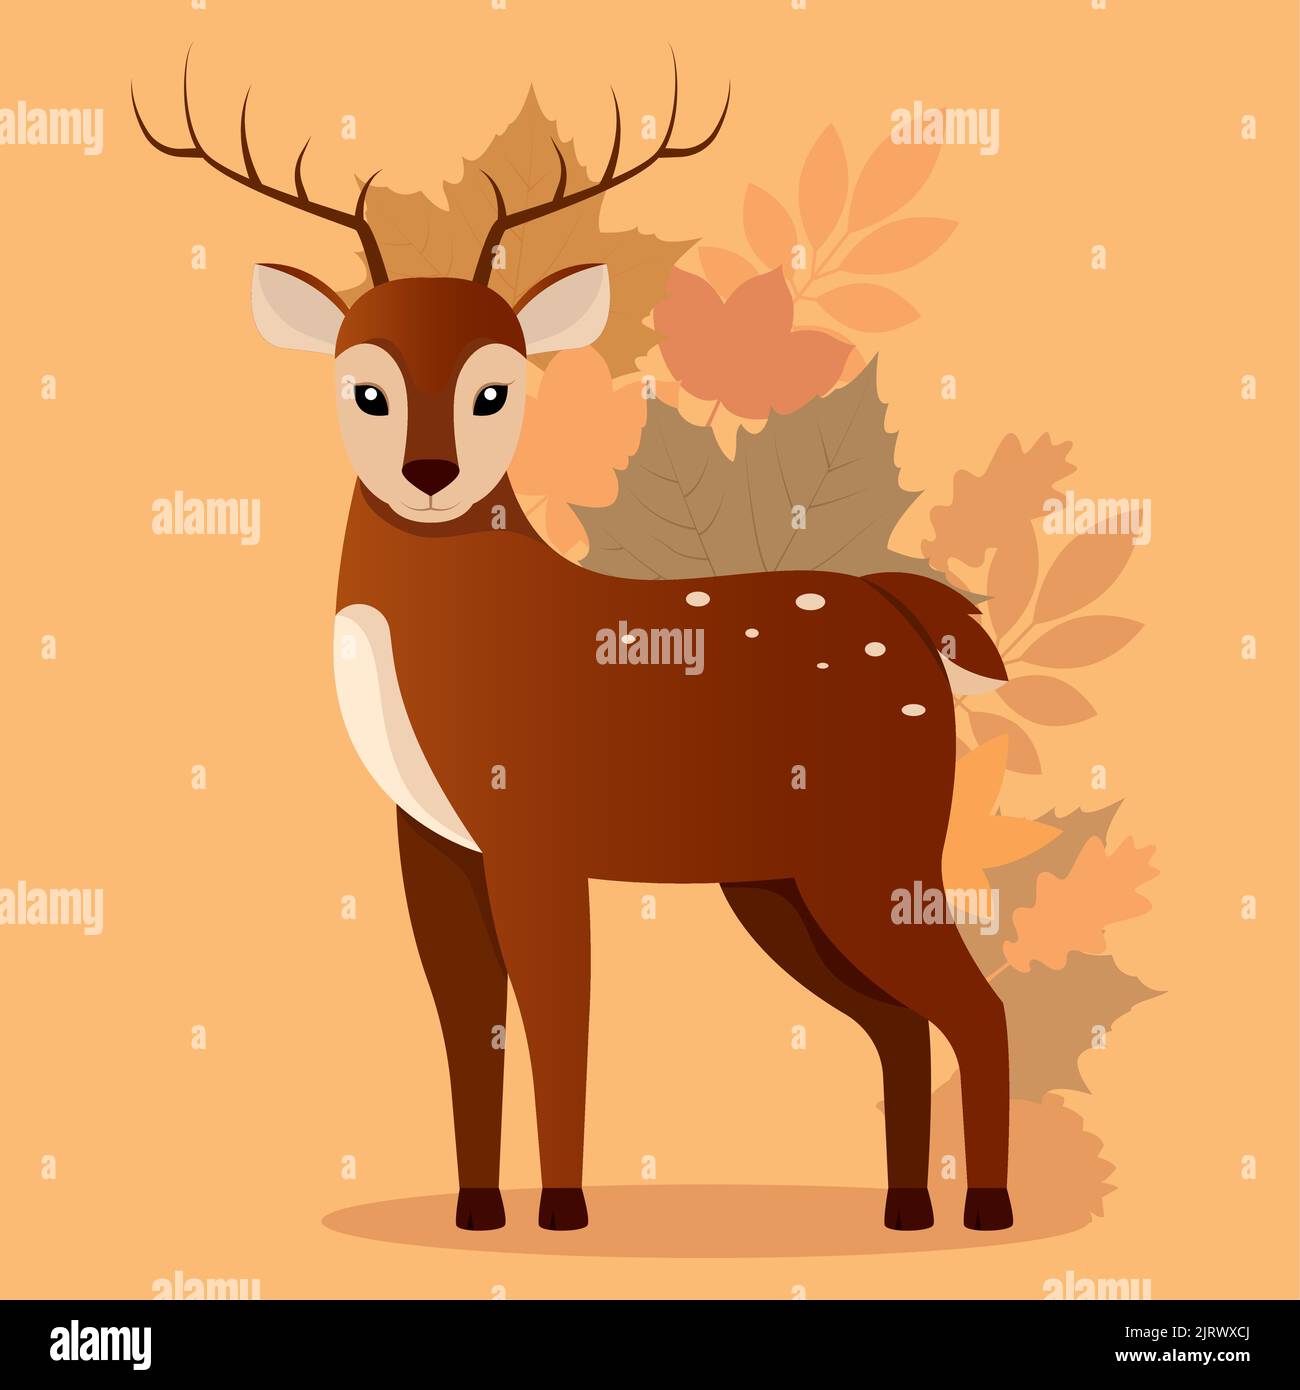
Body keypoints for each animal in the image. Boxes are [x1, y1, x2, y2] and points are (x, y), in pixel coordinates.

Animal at [134, 55, 1014, 1234]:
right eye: (364, 386)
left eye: (494, 388)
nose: (427, 474)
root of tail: (916, 617)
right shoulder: (433, 841)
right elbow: (469, 1029)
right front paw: (475, 1209)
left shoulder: (535, 827)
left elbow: (560, 1017)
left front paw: (562, 1209)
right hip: (779, 883)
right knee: (898, 1021)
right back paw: (904, 1209)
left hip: (878, 845)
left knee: (976, 1004)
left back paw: (986, 1209)